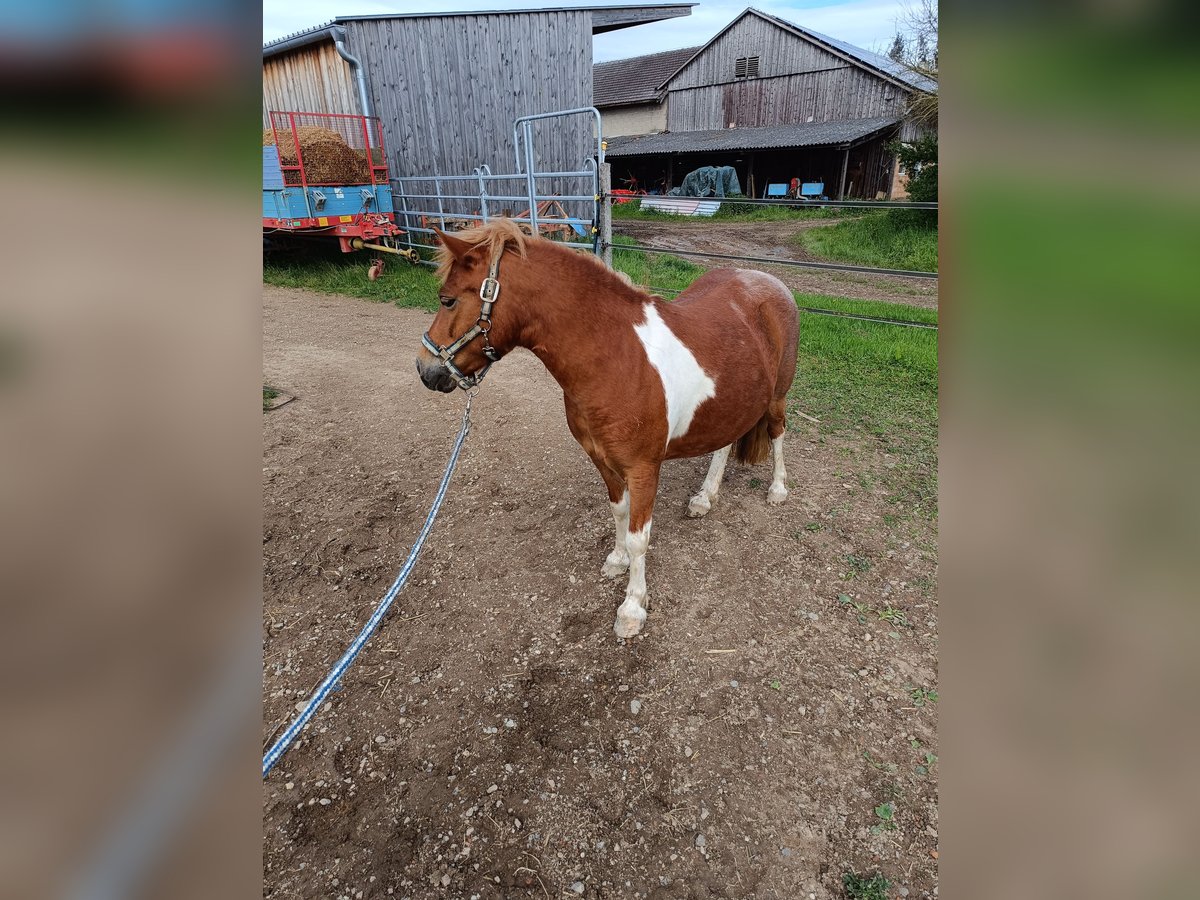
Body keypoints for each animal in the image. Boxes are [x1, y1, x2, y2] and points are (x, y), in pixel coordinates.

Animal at [417, 219, 799, 638]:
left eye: (447, 300)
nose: (425, 370)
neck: (614, 357)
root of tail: (769, 281)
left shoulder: (644, 469)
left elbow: (639, 538)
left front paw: (632, 609)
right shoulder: (602, 459)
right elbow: (618, 513)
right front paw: (616, 561)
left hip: (777, 396)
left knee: (778, 432)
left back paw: (777, 490)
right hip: (731, 401)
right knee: (724, 444)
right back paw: (704, 497)